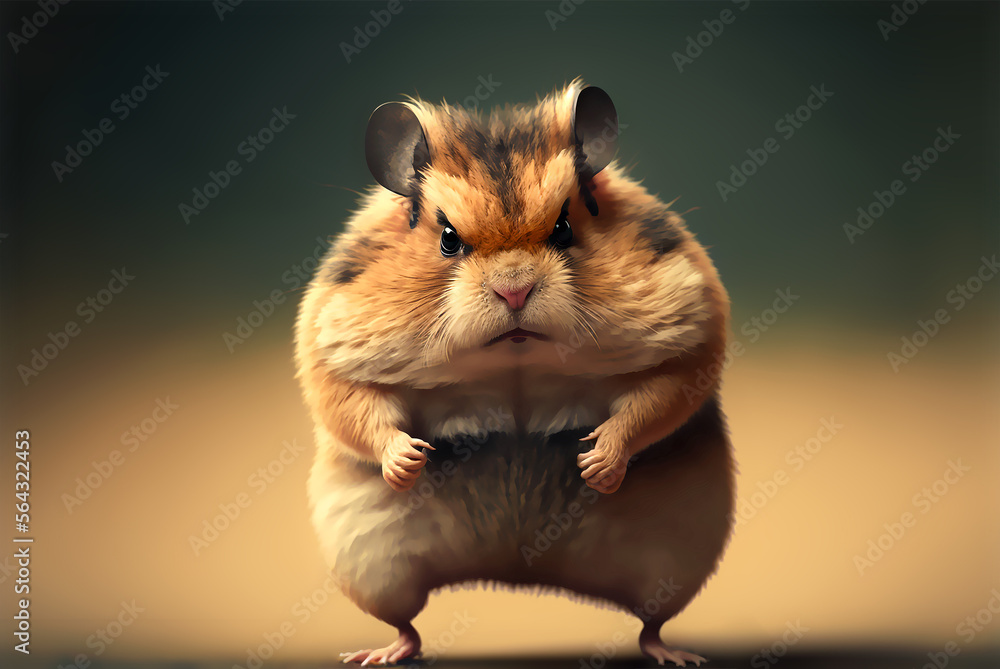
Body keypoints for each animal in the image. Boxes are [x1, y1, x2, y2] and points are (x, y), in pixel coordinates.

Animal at [294, 79, 735, 667]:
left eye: (565, 228)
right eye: (448, 238)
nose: (515, 291)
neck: (516, 354)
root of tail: (520, 565)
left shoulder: (693, 337)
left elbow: (653, 402)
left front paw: (597, 466)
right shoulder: (327, 352)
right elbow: (358, 409)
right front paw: (409, 461)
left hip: (672, 565)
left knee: (652, 623)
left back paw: (674, 655)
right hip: (374, 569)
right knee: (405, 623)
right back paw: (377, 654)